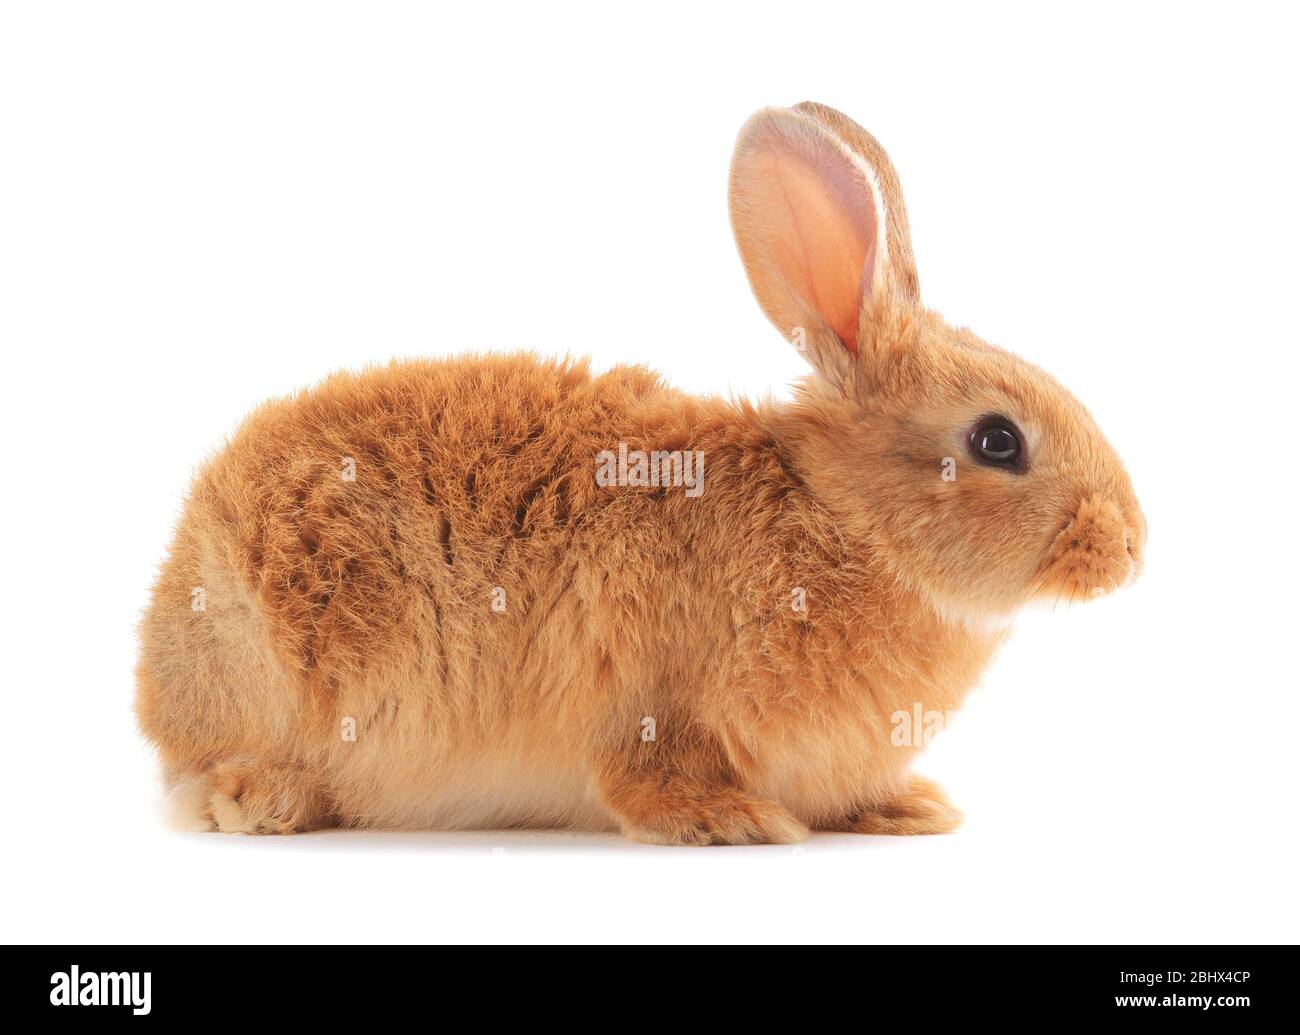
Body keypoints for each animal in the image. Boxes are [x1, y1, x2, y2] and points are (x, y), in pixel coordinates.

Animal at [136, 101, 1145, 844]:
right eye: (998, 441)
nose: (1131, 547)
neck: (841, 521)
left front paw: (908, 808)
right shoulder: (655, 700)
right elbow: (647, 775)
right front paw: (736, 822)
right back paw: (261, 798)